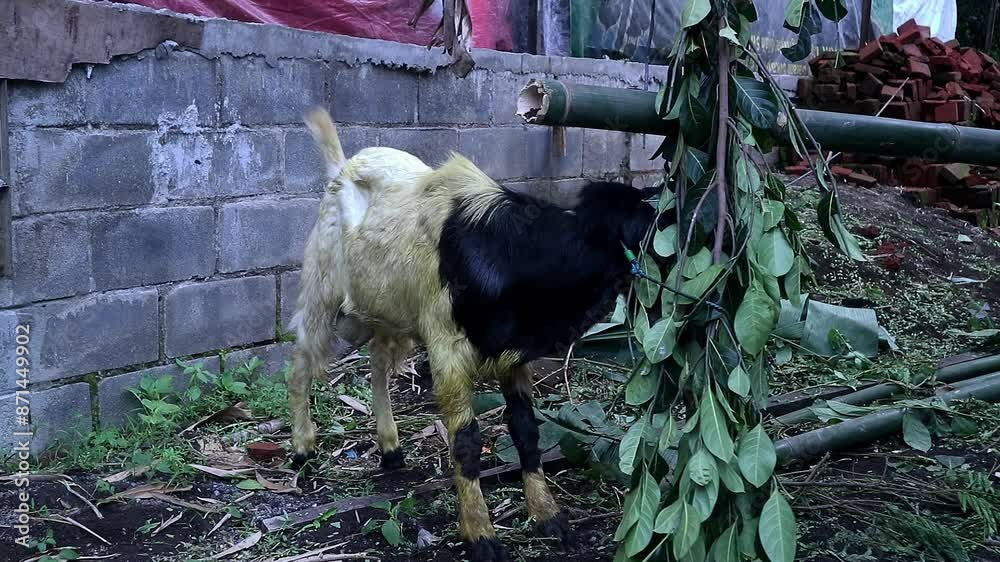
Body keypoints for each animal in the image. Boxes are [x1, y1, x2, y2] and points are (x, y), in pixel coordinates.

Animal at [289, 108, 655, 561]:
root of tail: (342, 165)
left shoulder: (511, 353)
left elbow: (526, 429)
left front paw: (548, 514)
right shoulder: (448, 349)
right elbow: (465, 441)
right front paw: (481, 535)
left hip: (388, 312)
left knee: (376, 363)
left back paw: (390, 448)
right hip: (322, 294)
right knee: (301, 362)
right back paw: (302, 447)